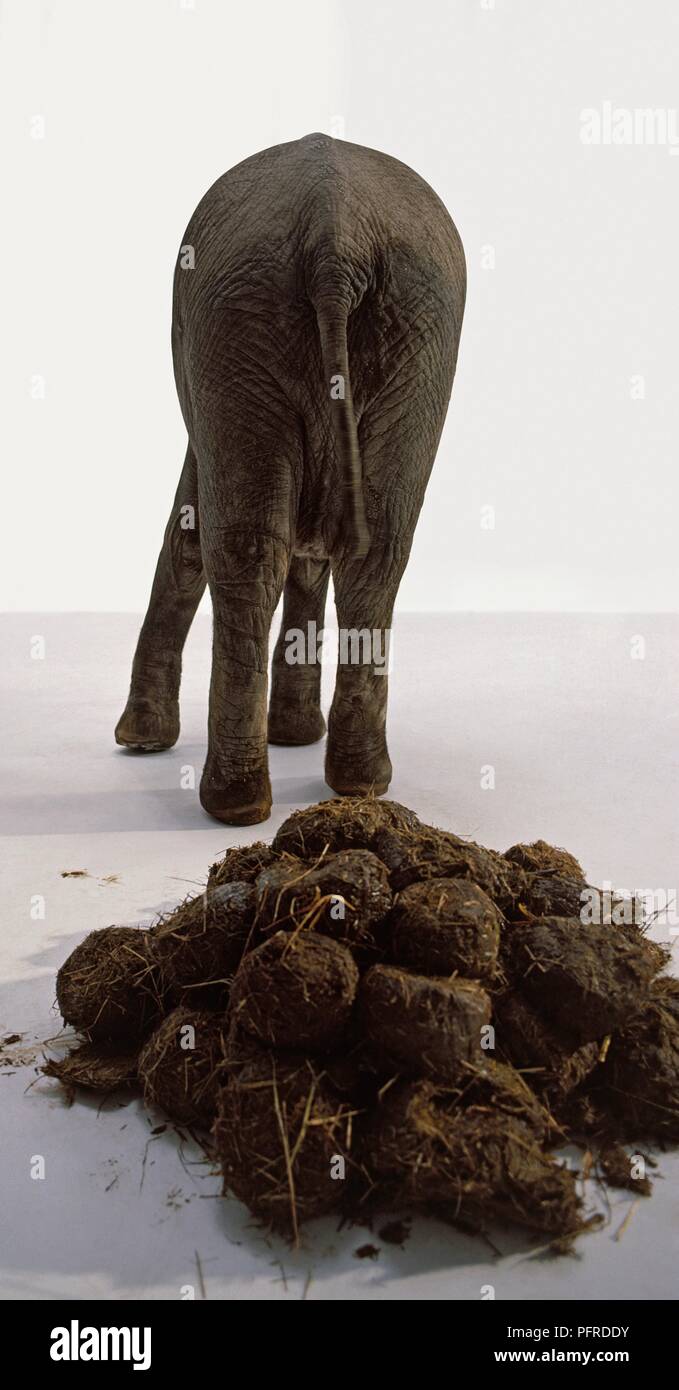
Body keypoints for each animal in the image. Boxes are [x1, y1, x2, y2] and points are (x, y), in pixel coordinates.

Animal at [115, 133, 466, 824]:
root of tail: (336, 236)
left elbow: (189, 533)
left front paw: (139, 742)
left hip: (241, 321)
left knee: (245, 549)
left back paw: (234, 806)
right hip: (407, 332)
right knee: (376, 552)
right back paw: (357, 785)